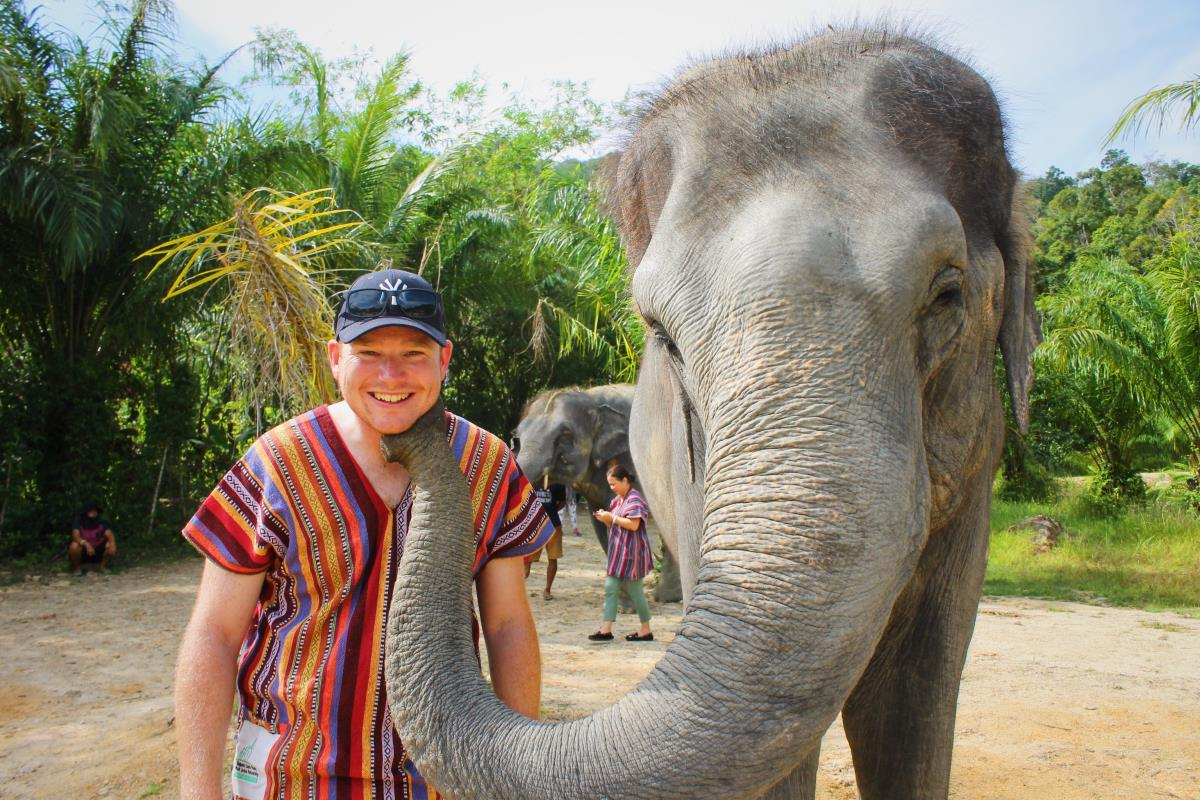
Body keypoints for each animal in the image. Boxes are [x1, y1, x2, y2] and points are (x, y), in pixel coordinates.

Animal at [512, 384, 683, 603]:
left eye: (565, 436)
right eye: (517, 438)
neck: (589, 398)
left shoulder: (628, 461)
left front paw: (626, 606)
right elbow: (602, 525)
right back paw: (667, 598)